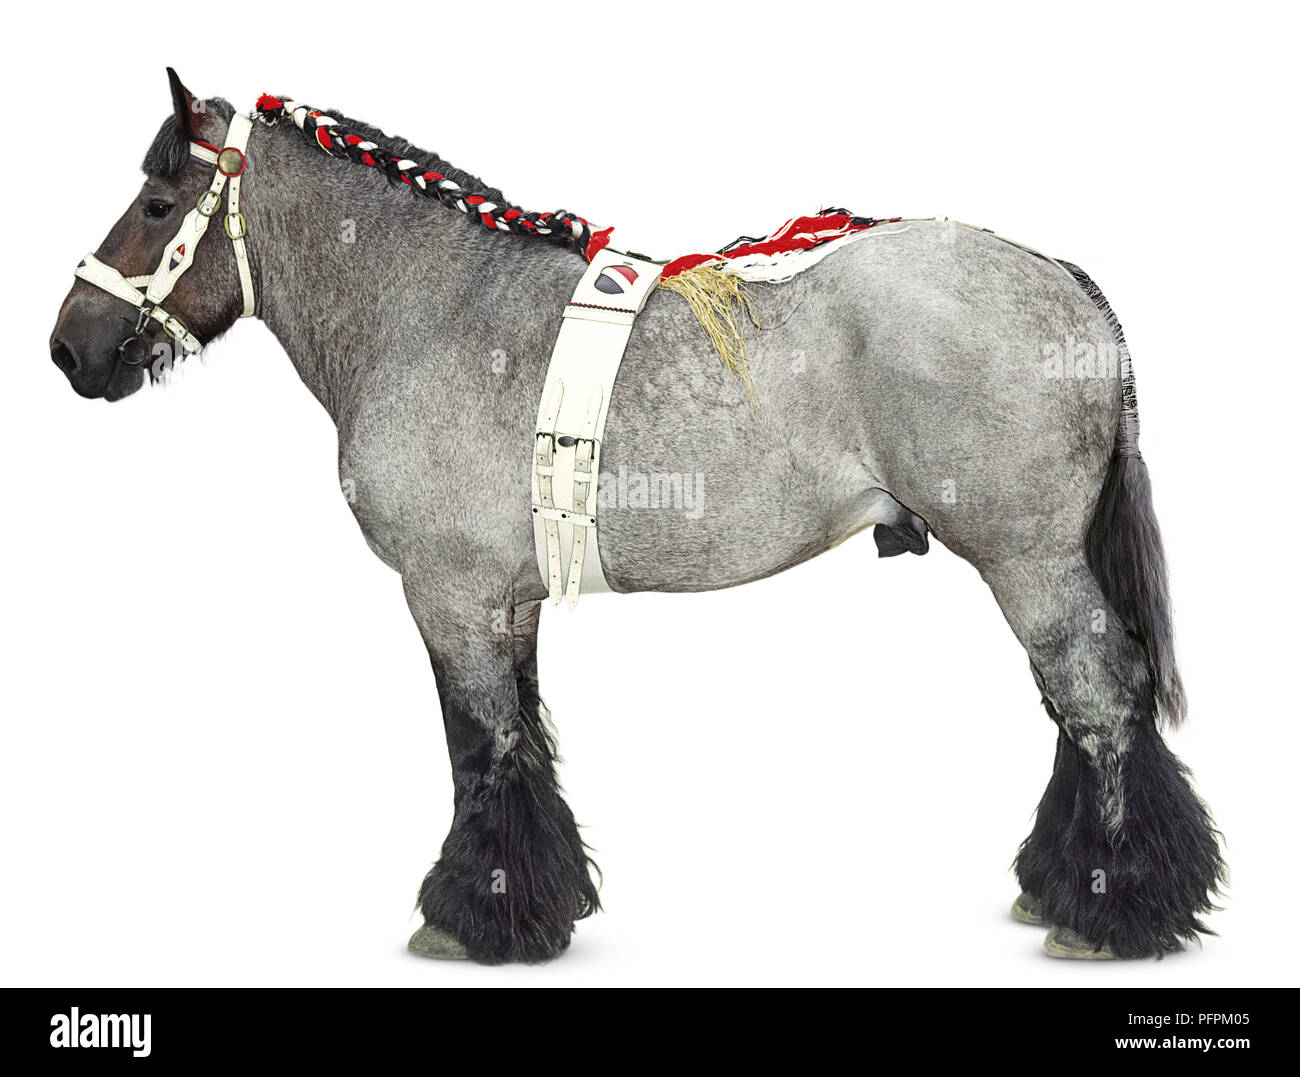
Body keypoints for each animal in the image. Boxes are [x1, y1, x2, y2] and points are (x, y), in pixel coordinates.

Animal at [48, 69, 1224, 965]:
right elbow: (522, 739)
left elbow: (478, 745)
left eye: (156, 206)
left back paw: (1112, 909)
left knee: (1098, 697)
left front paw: (474, 916)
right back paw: (1062, 885)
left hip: (1029, 560)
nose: (70, 347)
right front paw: (538, 899)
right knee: (1078, 703)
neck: (438, 311)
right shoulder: (504, 602)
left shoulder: (448, 596)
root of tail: (1061, 283)